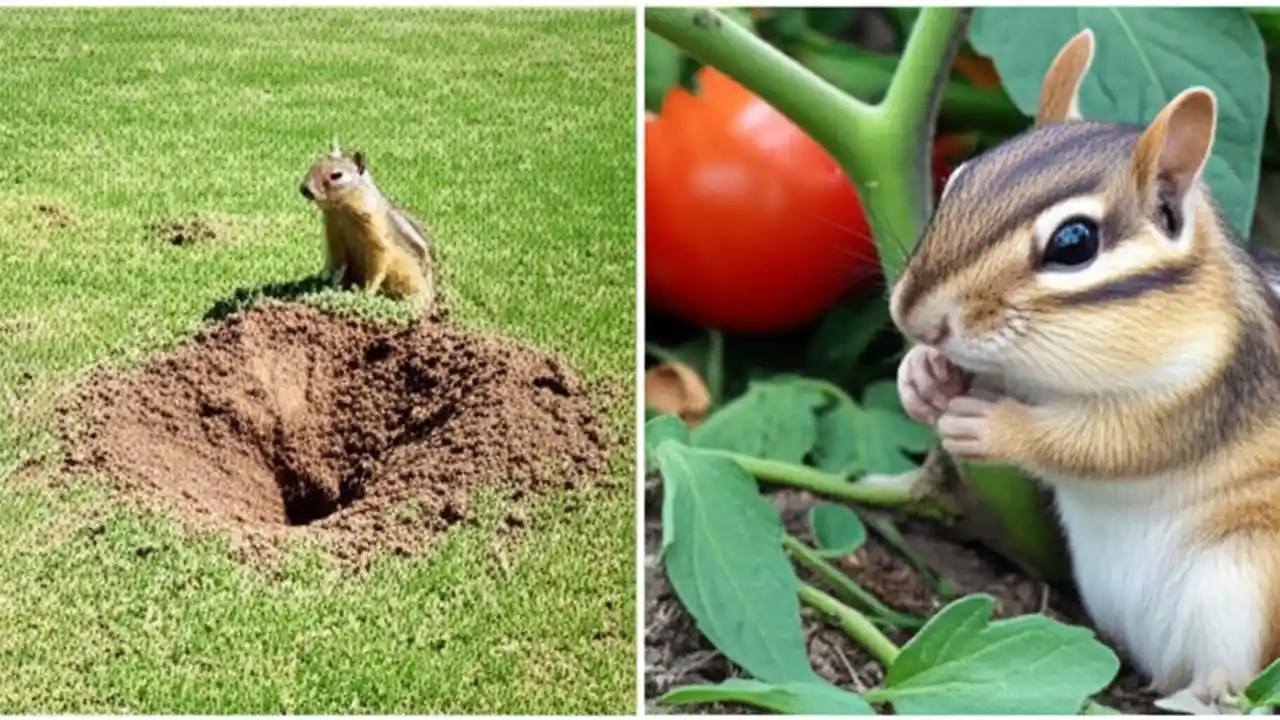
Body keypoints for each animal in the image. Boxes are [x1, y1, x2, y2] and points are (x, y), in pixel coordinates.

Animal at [299, 139, 436, 307]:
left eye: (336, 175)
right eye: (314, 164)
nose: (304, 189)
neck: (341, 211)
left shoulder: (376, 235)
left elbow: (378, 263)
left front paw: (367, 293)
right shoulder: (333, 237)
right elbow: (337, 264)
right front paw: (329, 285)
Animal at [890, 29, 1280, 712]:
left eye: (1073, 243)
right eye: (959, 177)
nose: (915, 316)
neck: (1055, 374)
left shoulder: (1202, 390)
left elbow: (1106, 444)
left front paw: (990, 426)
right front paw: (922, 376)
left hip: (1241, 583)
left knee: (1234, 687)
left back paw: (1186, 699)